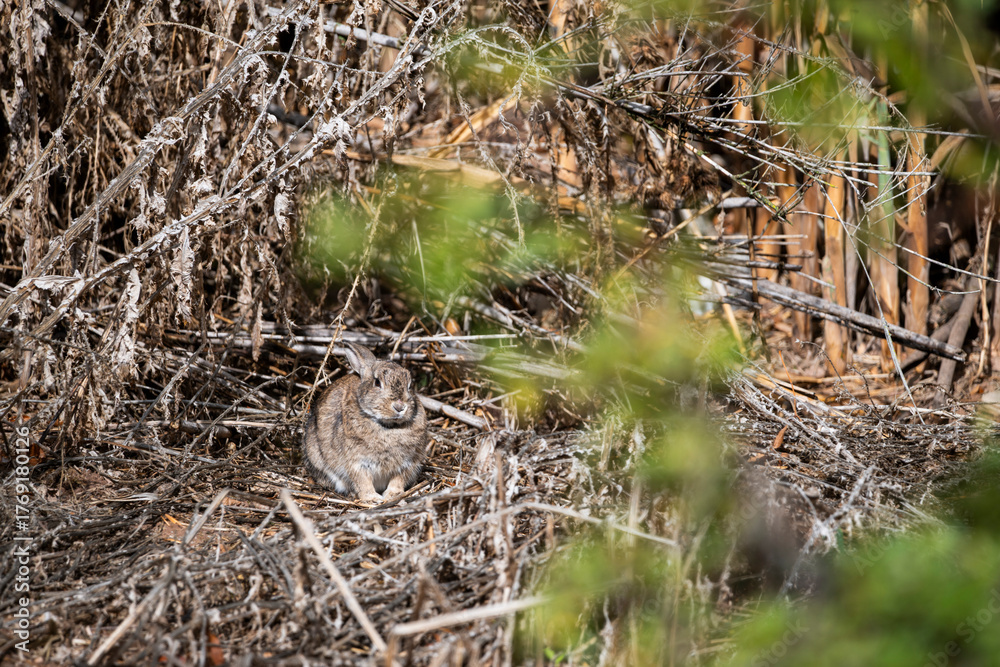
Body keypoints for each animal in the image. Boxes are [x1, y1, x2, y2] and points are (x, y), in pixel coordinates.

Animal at [302, 341, 427, 503]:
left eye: (410, 385)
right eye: (377, 382)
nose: (400, 407)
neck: (388, 427)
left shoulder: (408, 463)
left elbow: (398, 480)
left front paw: (393, 495)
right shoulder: (357, 462)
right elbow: (362, 480)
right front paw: (372, 498)